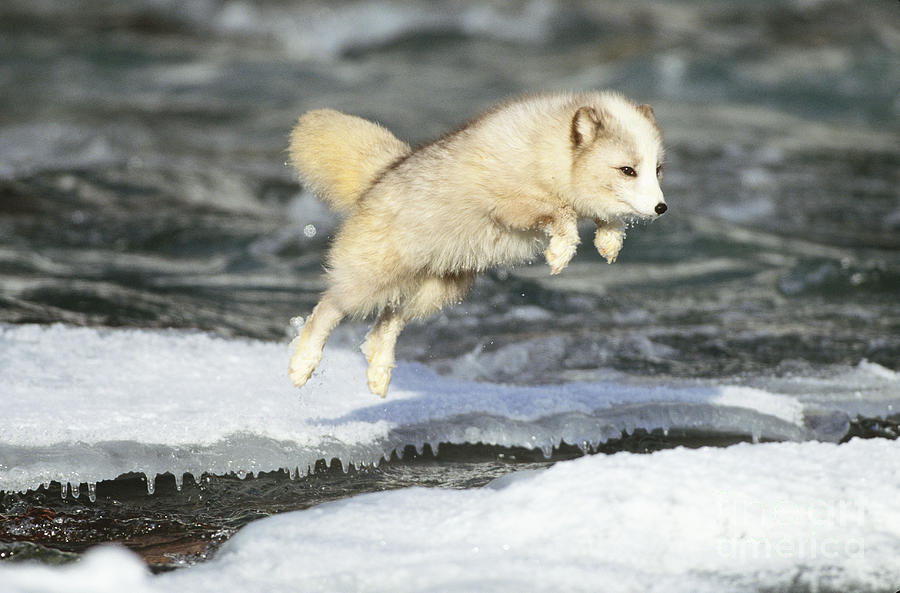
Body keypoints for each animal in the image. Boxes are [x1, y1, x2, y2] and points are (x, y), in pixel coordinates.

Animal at [287, 91, 666, 397]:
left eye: (658, 169)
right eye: (628, 170)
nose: (662, 208)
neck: (545, 149)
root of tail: (382, 174)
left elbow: (600, 216)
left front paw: (609, 240)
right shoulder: (509, 204)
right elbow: (562, 213)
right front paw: (560, 251)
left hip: (436, 290)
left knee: (386, 324)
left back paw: (379, 373)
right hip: (372, 280)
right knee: (329, 306)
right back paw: (303, 363)